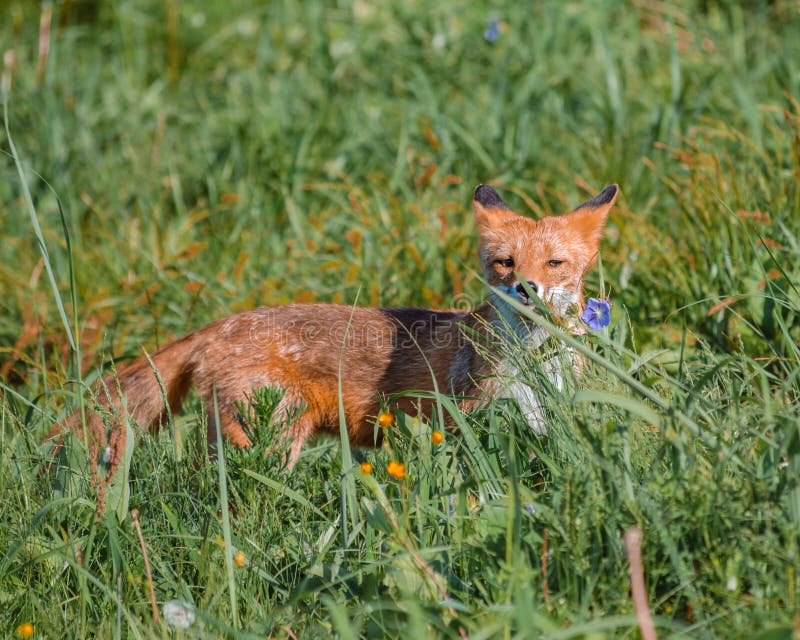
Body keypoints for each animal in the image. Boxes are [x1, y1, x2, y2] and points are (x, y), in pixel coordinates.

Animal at [54, 183, 618, 469]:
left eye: (554, 264)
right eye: (505, 262)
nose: (526, 289)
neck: (533, 367)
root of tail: (223, 322)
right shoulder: (471, 422)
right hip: (270, 438)